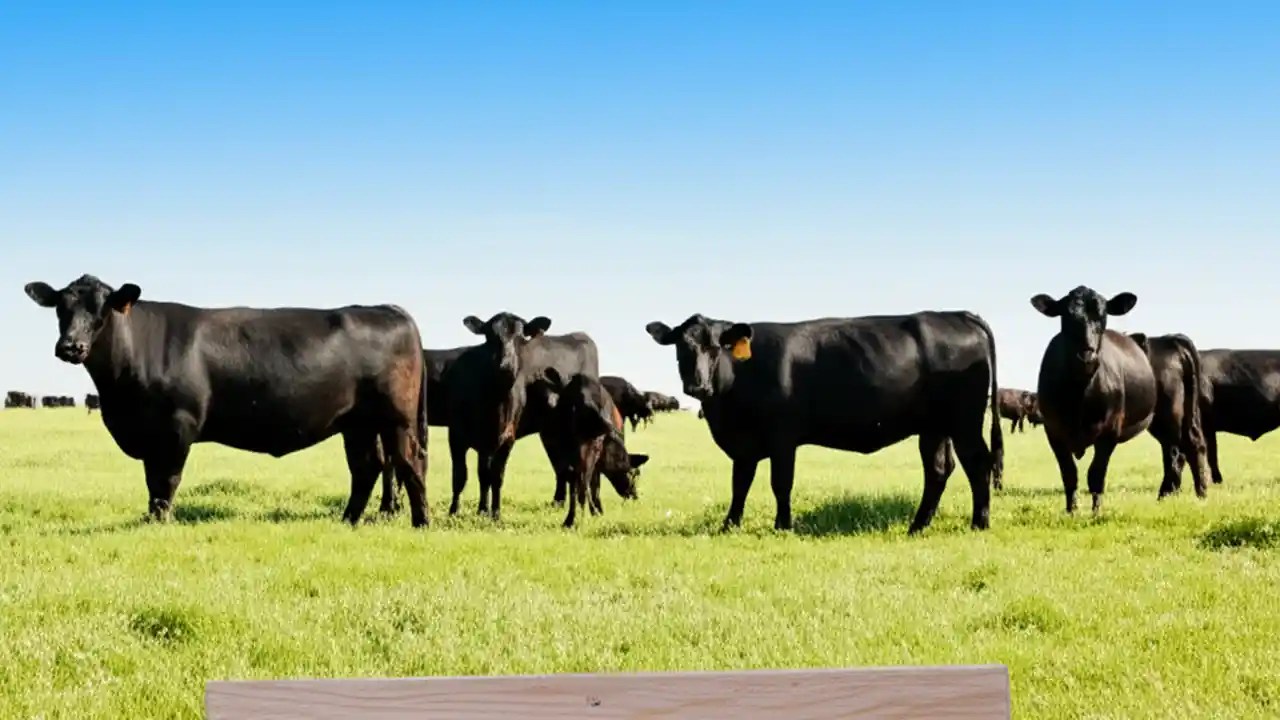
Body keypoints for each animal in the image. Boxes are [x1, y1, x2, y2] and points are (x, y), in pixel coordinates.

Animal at [24, 274, 429, 526]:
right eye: (61, 308)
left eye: (101, 309)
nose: (71, 347)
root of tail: (387, 309)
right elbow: (152, 482)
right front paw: (152, 518)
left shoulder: (176, 426)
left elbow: (165, 481)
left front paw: (159, 522)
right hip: (357, 423)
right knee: (367, 467)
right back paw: (348, 521)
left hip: (396, 418)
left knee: (409, 463)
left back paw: (420, 523)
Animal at [537, 368, 649, 528]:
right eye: (634, 473)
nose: (633, 495)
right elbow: (595, 483)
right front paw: (597, 510)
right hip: (590, 448)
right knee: (583, 480)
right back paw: (578, 517)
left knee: (571, 478)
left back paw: (569, 519)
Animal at [645, 311, 1003, 535]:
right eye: (682, 347)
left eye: (716, 347)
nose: (697, 386)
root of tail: (957, 314)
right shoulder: (746, 445)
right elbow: (740, 484)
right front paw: (729, 525)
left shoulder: (782, 436)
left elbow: (780, 483)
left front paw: (782, 525)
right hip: (935, 427)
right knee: (939, 469)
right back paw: (917, 526)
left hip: (965, 421)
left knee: (977, 463)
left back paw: (979, 523)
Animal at [1030, 286, 1159, 515]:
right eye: (1067, 317)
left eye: (1102, 316)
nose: (1087, 356)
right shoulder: (1053, 430)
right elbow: (1069, 473)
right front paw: (1071, 510)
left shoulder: (1110, 430)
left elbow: (1096, 473)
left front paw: (1096, 511)